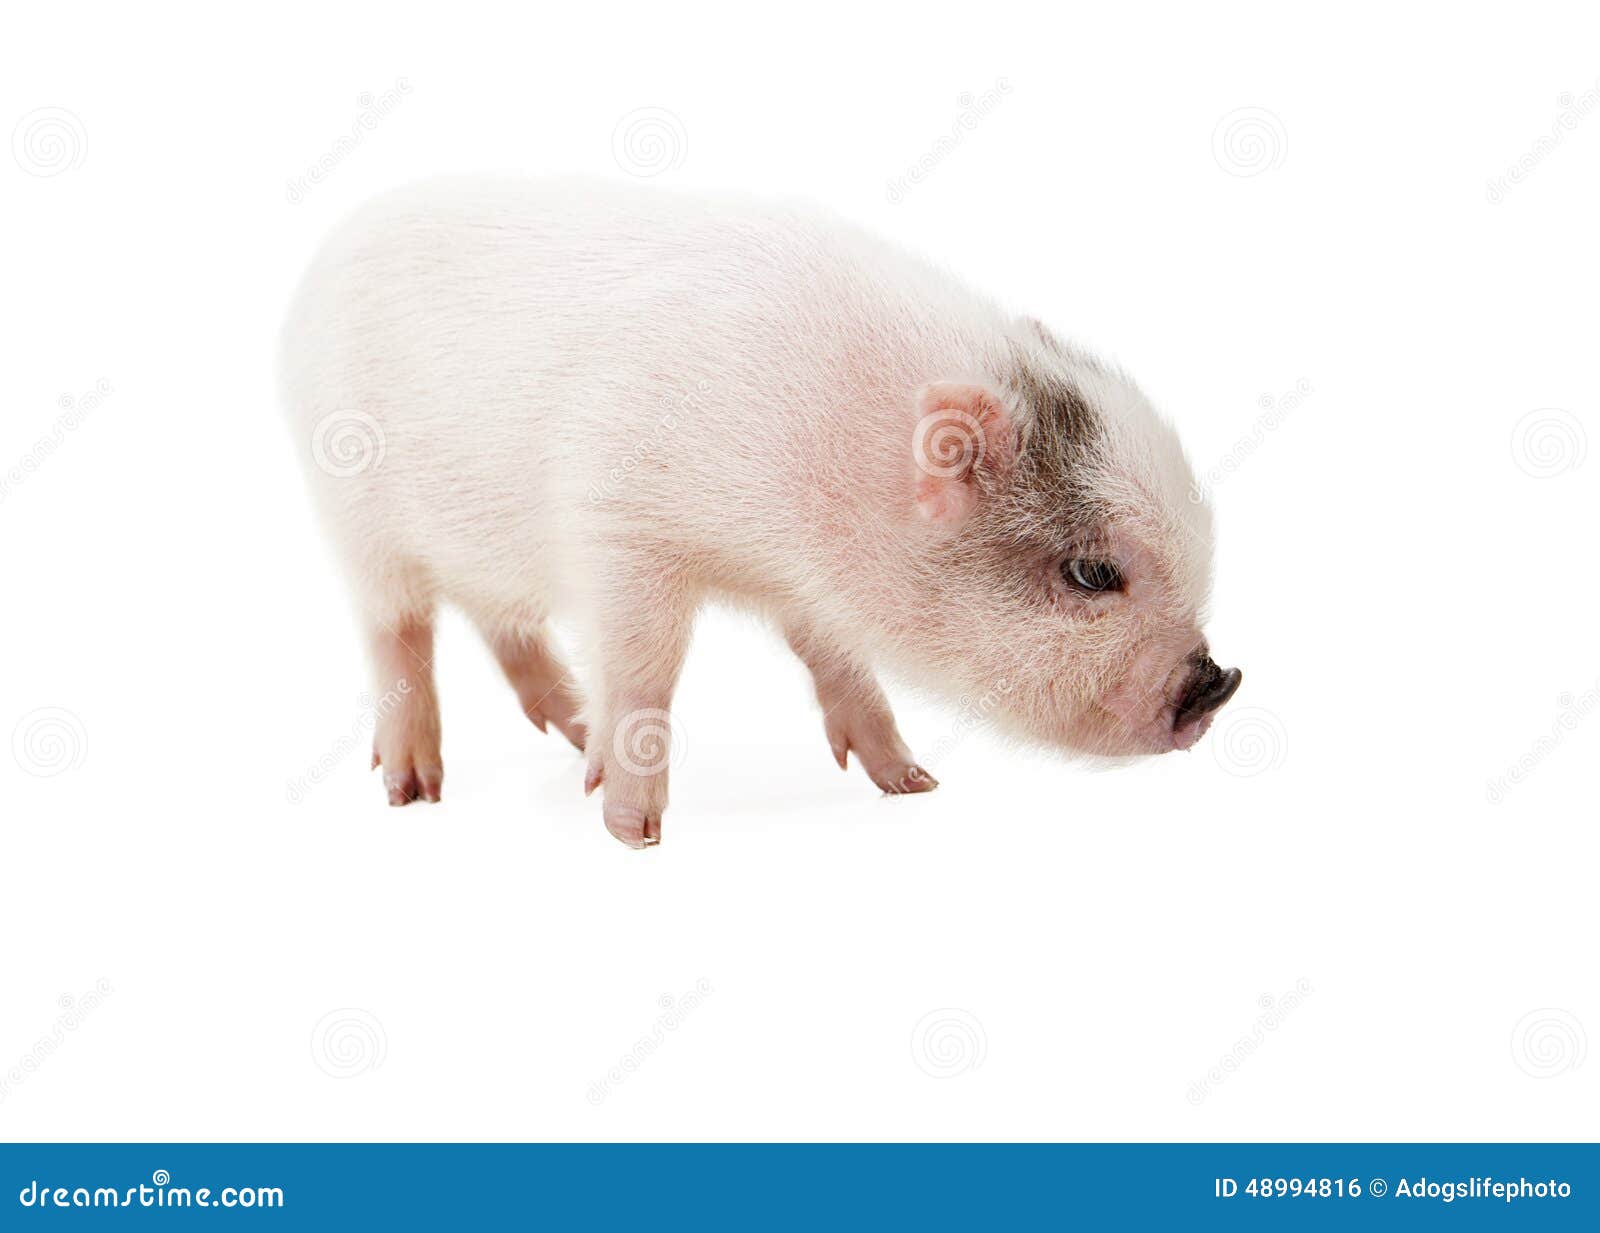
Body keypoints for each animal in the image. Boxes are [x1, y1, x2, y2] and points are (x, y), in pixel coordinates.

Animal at [278, 177, 1241, 848]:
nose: (1217, 682)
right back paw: (412, 791)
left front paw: (912, 783)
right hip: (355, 514)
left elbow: (837, 662)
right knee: (397, 630)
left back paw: (571, 727)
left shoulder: (802, 583)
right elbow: (645, 672)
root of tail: (330, 248)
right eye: (1092, 572)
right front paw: (631, 831)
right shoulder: (618, 523)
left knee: (498, 621)